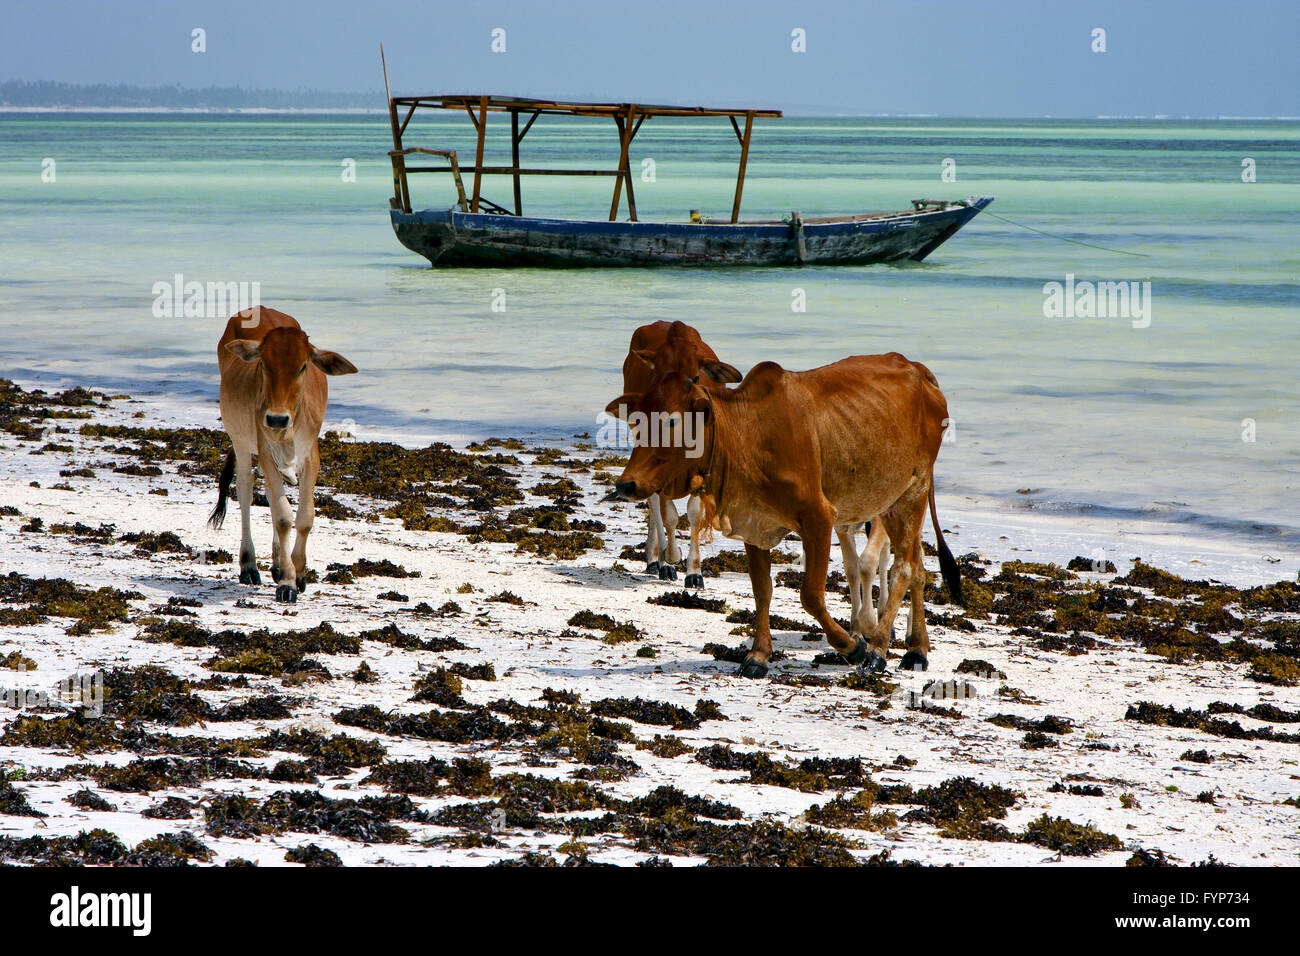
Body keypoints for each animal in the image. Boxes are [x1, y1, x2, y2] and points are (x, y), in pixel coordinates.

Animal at [207, 307, 357, 603]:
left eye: (303, 366)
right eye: (264, 364)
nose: (276, 419)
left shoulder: (310, 454)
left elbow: (304, 517)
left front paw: (297, 573)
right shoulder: (265, 449)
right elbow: (284, 516)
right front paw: (287, 580)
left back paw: (276, 563)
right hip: (240, 440)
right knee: (246, 490)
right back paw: (249, 565)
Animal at [606, 321, 740, 588]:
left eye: (695, 376)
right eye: (658, 375)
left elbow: (695, 515)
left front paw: (694, 572)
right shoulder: (651, 467)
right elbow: (668, 516)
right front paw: (670, 558)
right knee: (654, 505)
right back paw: (657, 560)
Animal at [606, 352, 962, 678]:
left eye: (672, 421)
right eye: (636, 420)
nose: (625, 484)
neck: (747, 434)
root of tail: (918, 369)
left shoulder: (819, 518)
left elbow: (811, 597)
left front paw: (853, 646)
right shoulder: (753, 523)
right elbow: (762, 591)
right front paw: (758, 656)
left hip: (913, 492)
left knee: (903, 568)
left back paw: (877, 650)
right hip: (887, 500)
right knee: (917, 567)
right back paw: (916, 650)